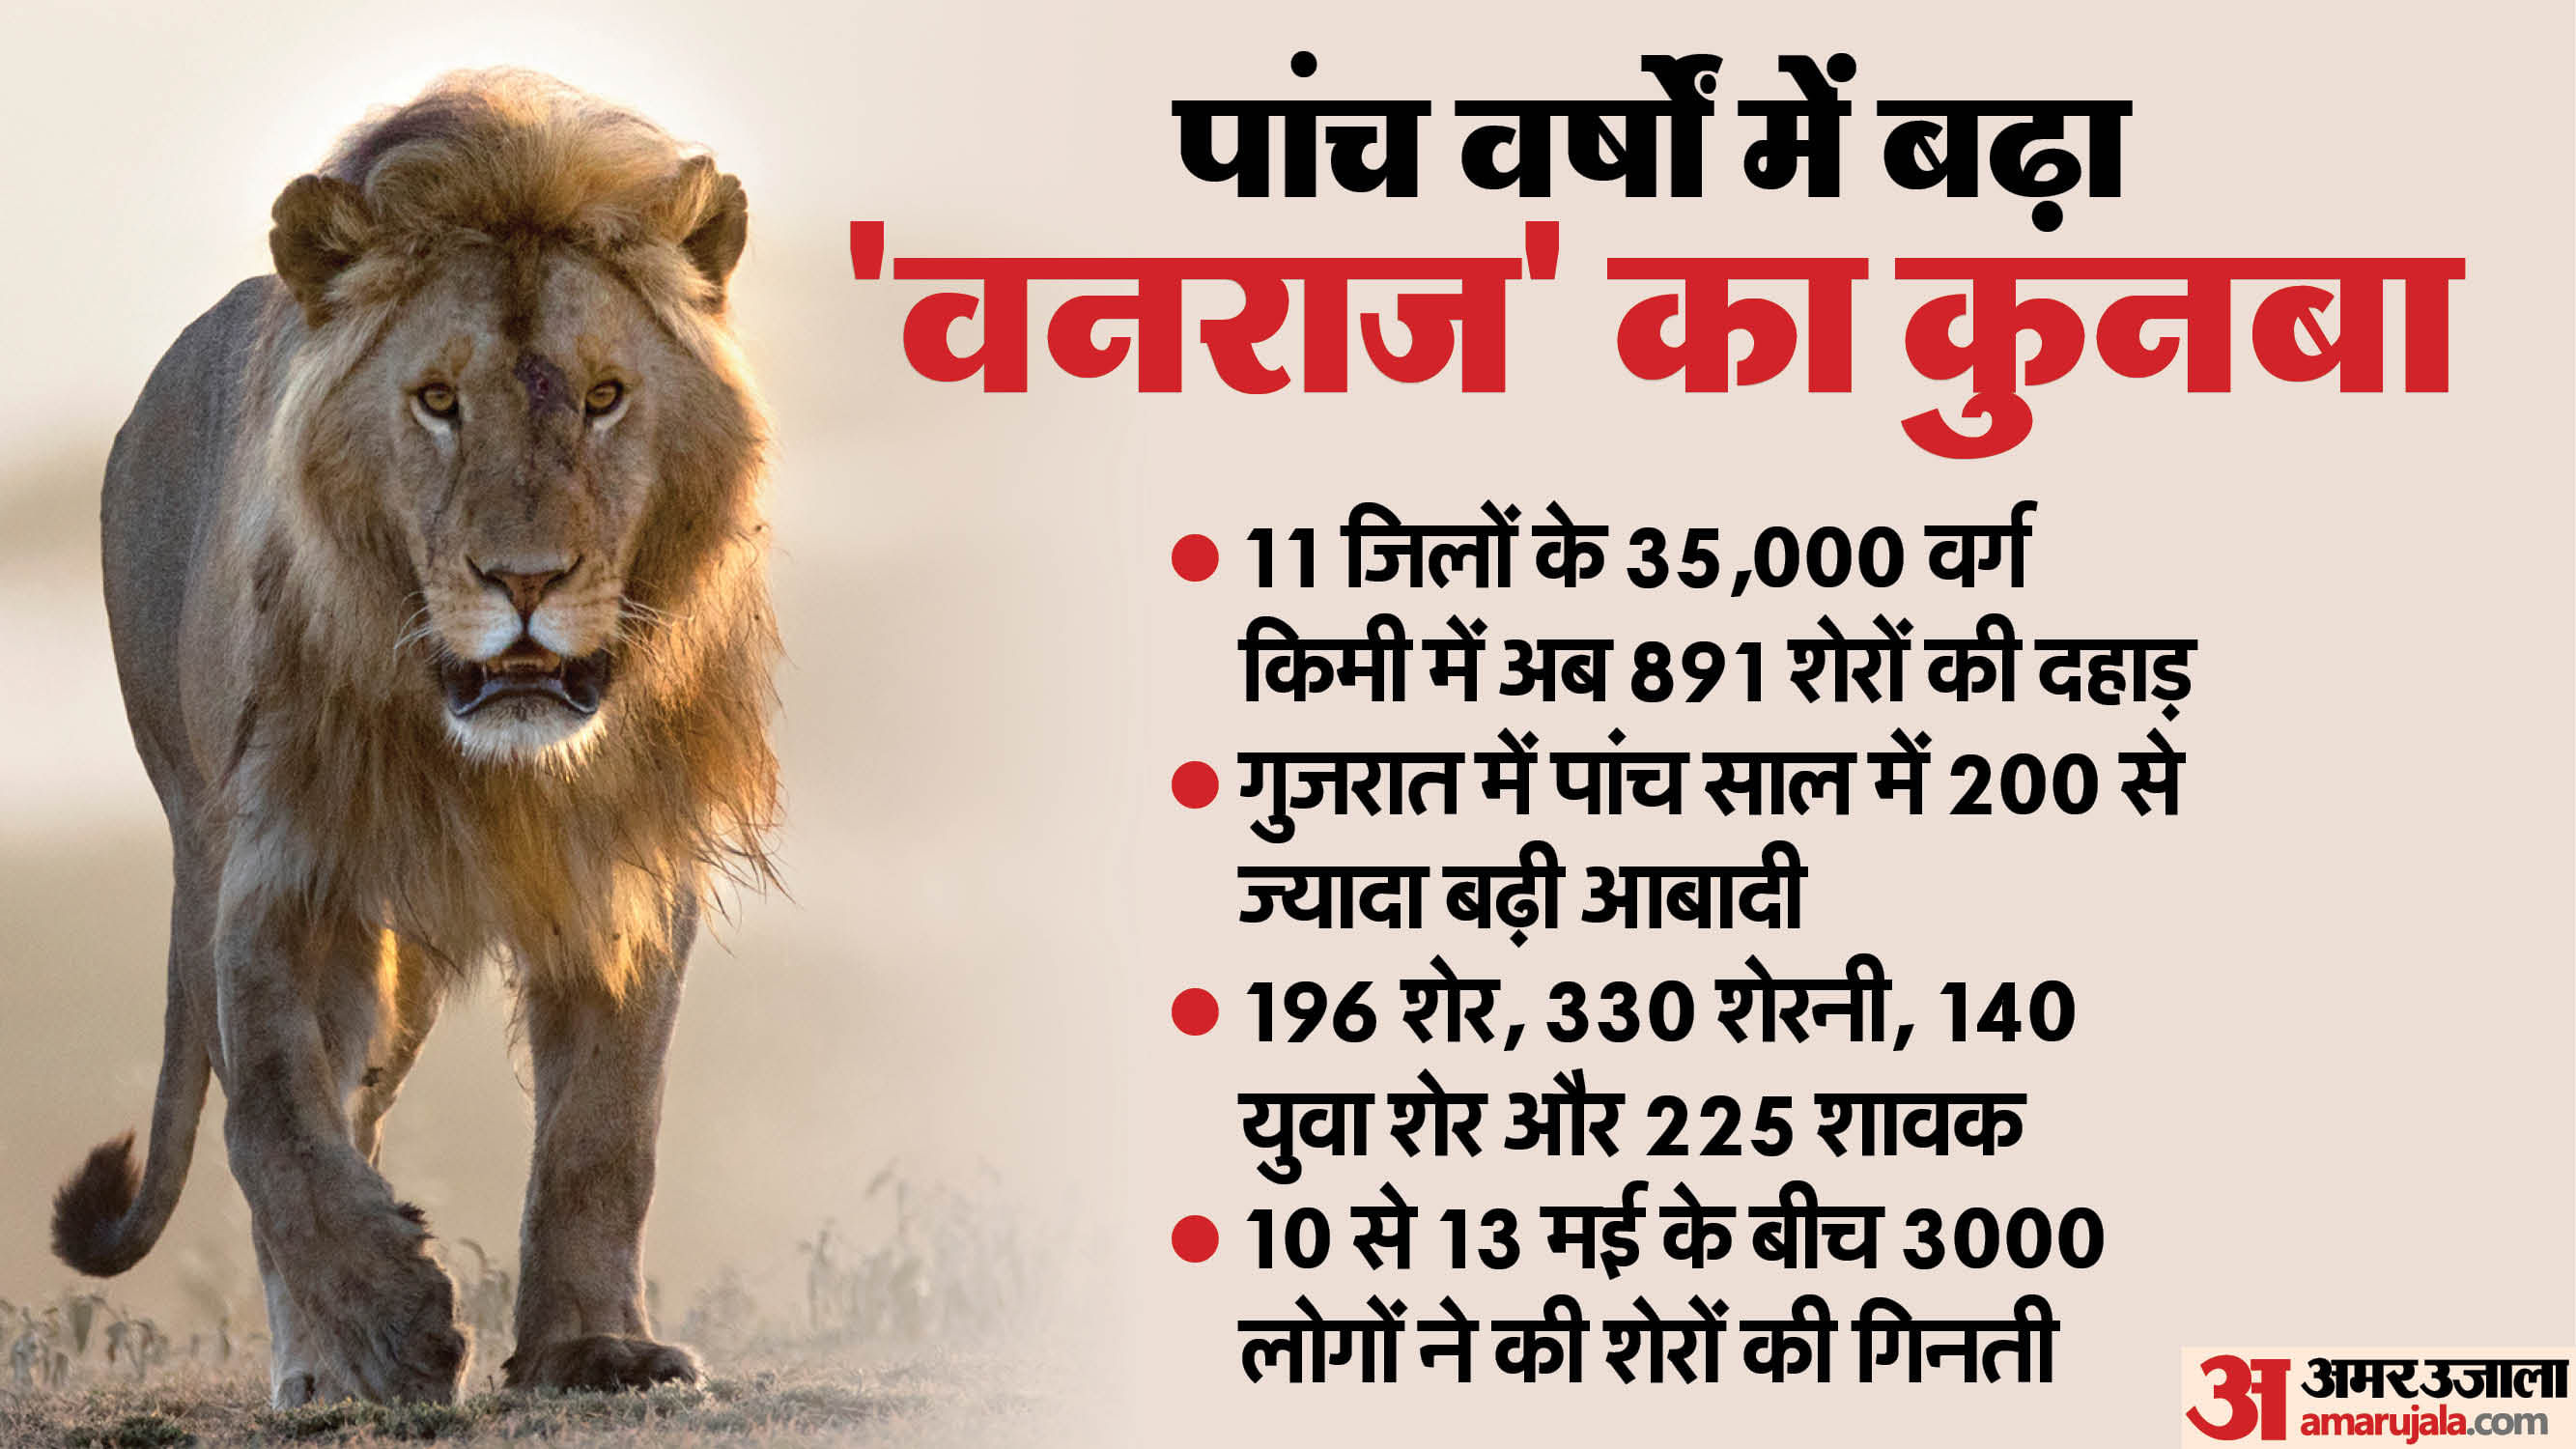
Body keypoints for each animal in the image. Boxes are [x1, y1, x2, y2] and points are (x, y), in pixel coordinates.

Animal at [49, 70, 779, 1407]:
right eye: (438, 403)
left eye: (604, 396)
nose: (526, 580)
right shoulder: (283, 858)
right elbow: (272, 1115)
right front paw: (383, 1328)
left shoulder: (627, 862)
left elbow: (606, 1128)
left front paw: (593, 1349)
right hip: (202, 819)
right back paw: (319, 1363)